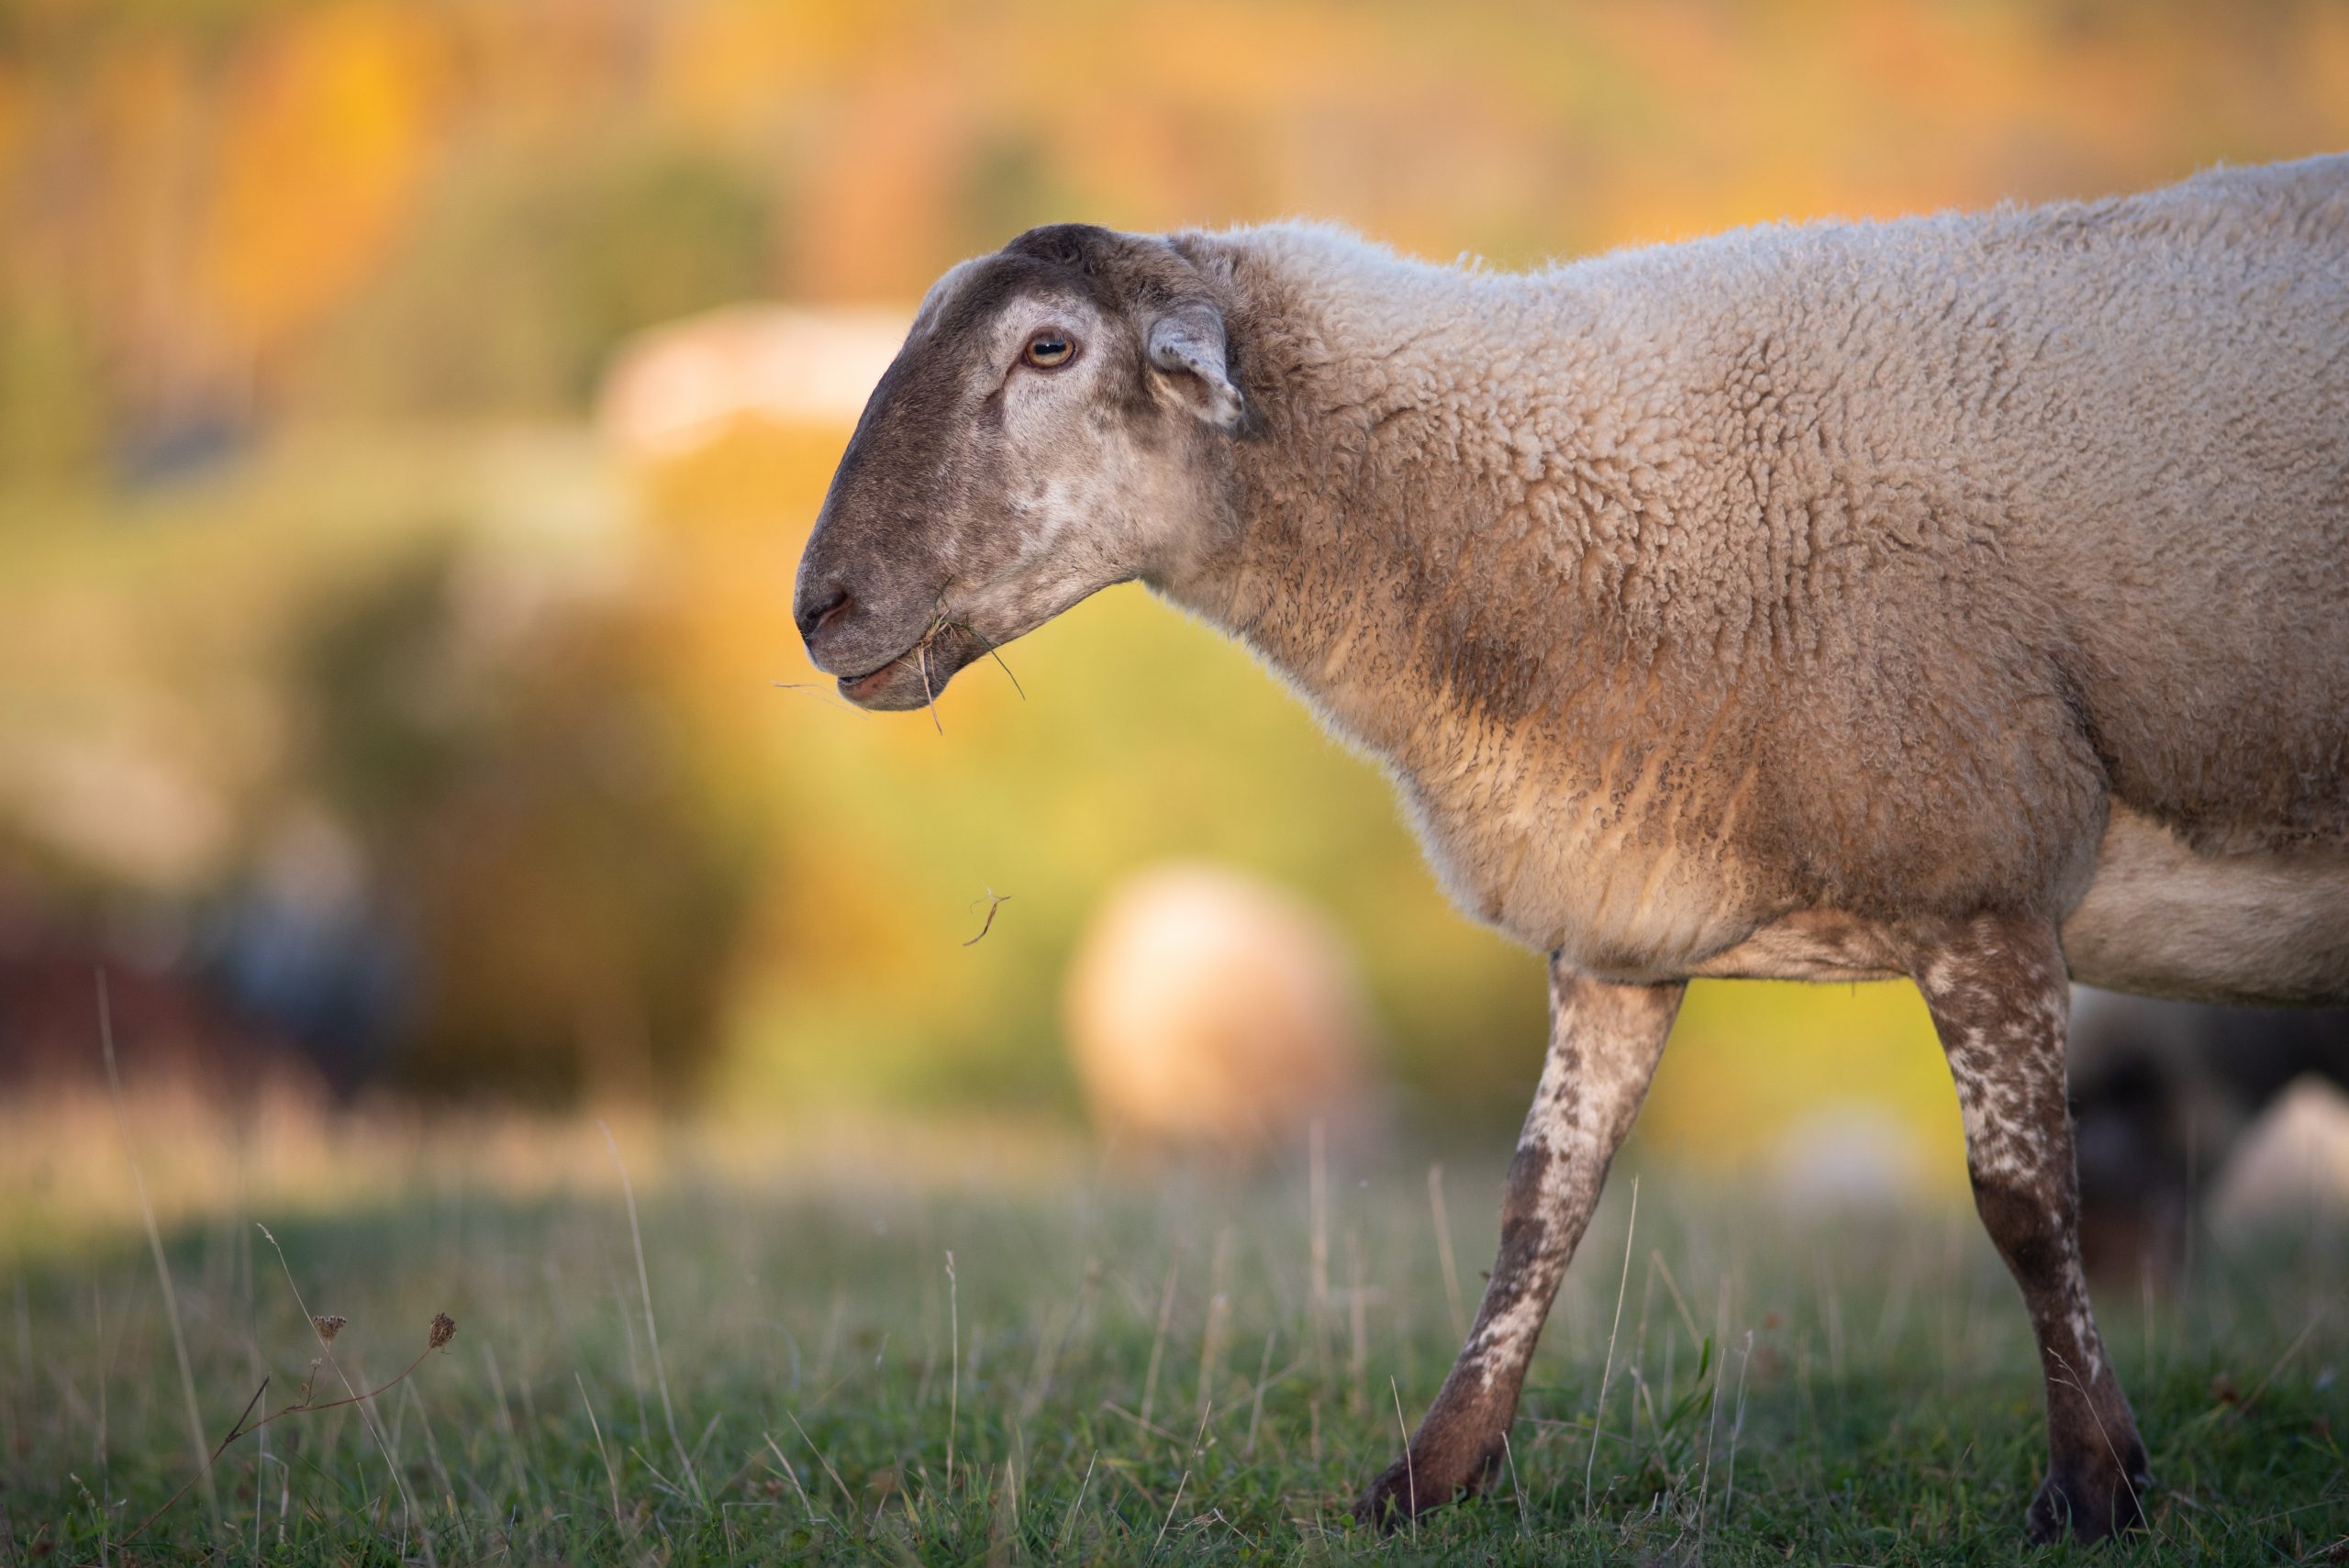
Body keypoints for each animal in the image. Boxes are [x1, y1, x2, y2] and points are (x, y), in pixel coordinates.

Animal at [792, 152, 2349, 1544]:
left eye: (1048, 347)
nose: (820, 607)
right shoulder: (1620, 910)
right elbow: (1539, 1207)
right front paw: (1430, 1478)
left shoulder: (1985, 870)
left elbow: (2024, 1205)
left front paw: (2095, 1487)